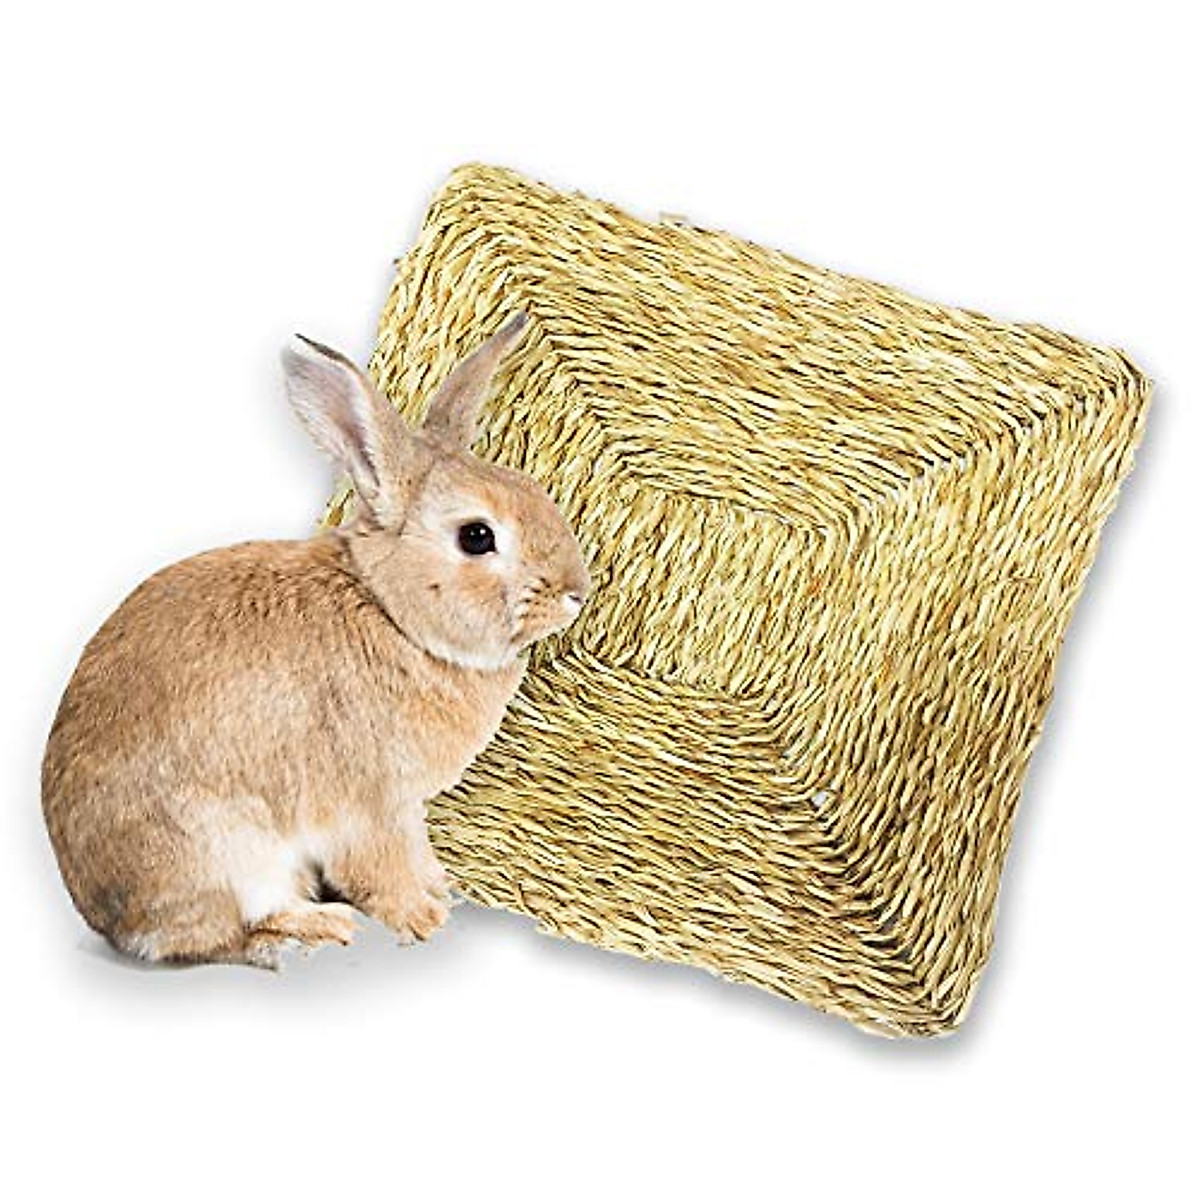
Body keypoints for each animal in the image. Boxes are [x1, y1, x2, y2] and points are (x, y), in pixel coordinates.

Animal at [42, 313, 590, 967]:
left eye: (532, 487)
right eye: (477, 537)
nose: (576, 592)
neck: (391, 611)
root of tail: (101, 914)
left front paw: (441, 888)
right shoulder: (374, 807)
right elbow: (383, 868)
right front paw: (426, 917)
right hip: (229, 853)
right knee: (221, 935)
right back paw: (312, 927)